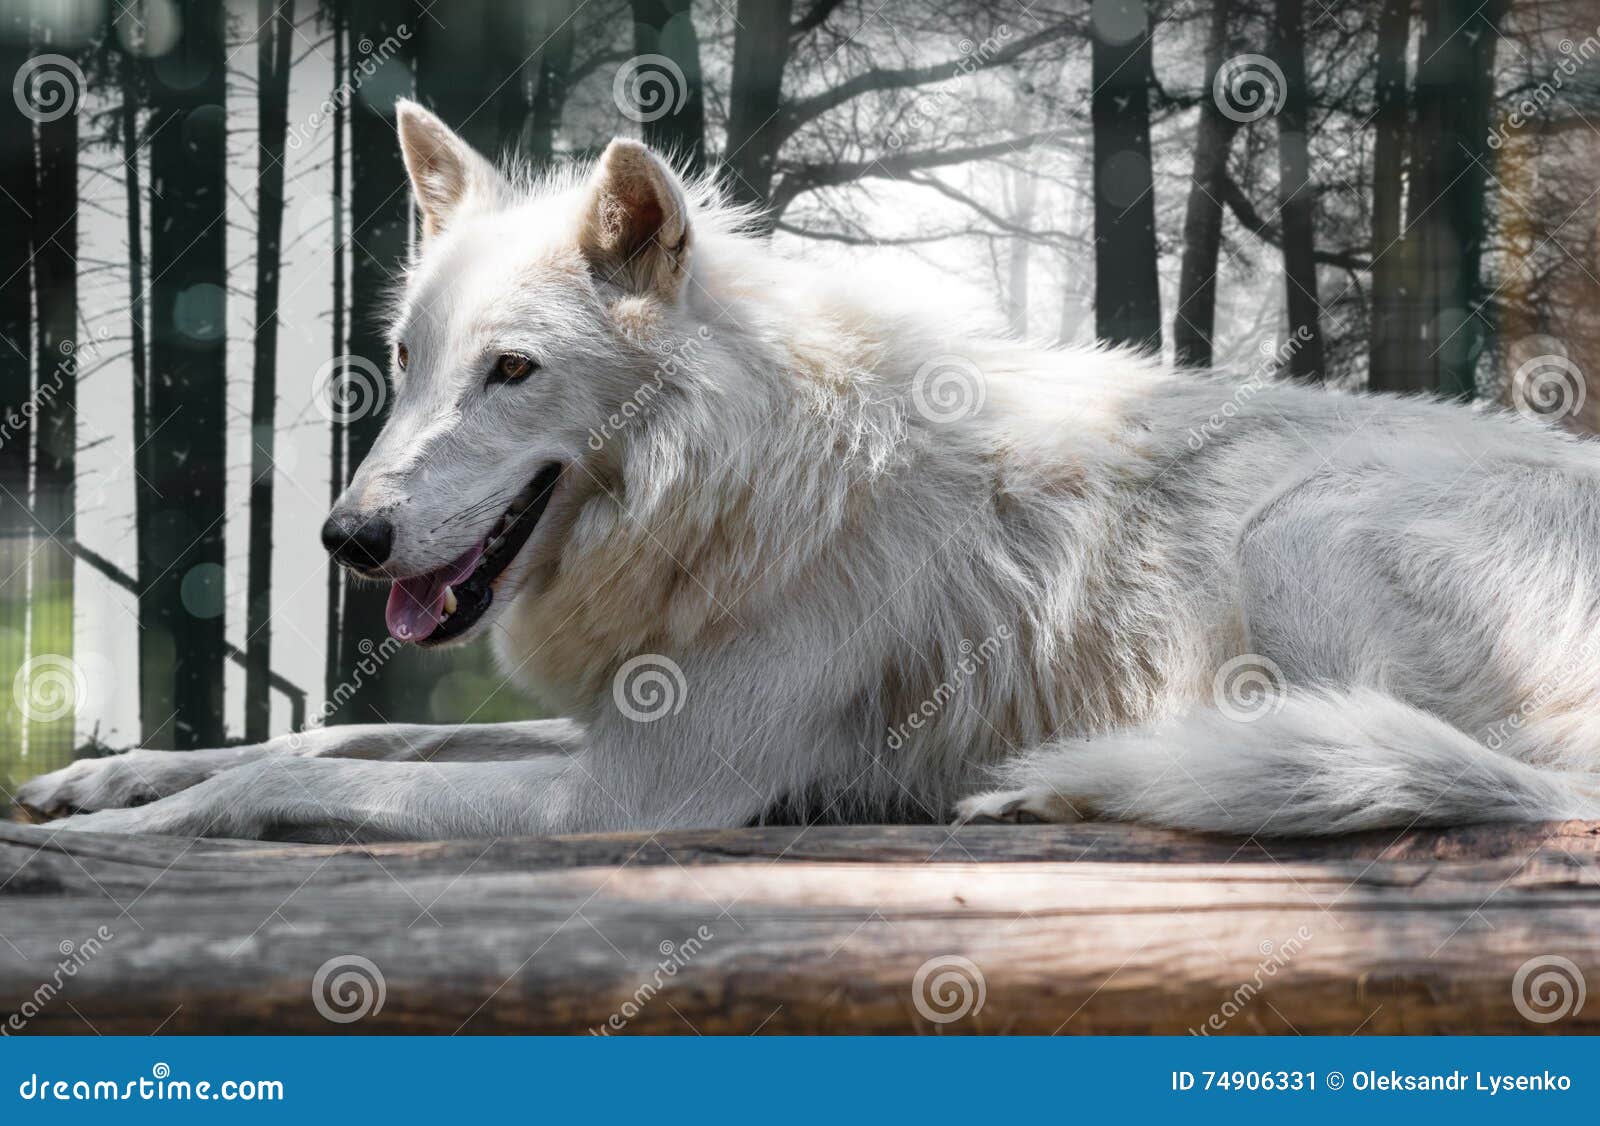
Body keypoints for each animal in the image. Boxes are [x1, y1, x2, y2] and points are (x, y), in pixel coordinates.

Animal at [18, 102, 1600, 842]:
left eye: (511, 371)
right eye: (404, 361)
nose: (348, 537)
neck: (736, 476)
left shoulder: (637, 794)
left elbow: (291, 786)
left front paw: (141, 828)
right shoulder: (617, 719)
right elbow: (326, 743)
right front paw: (110, 779)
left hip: (1296, 536)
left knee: (1410, 766)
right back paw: (1039, 794)